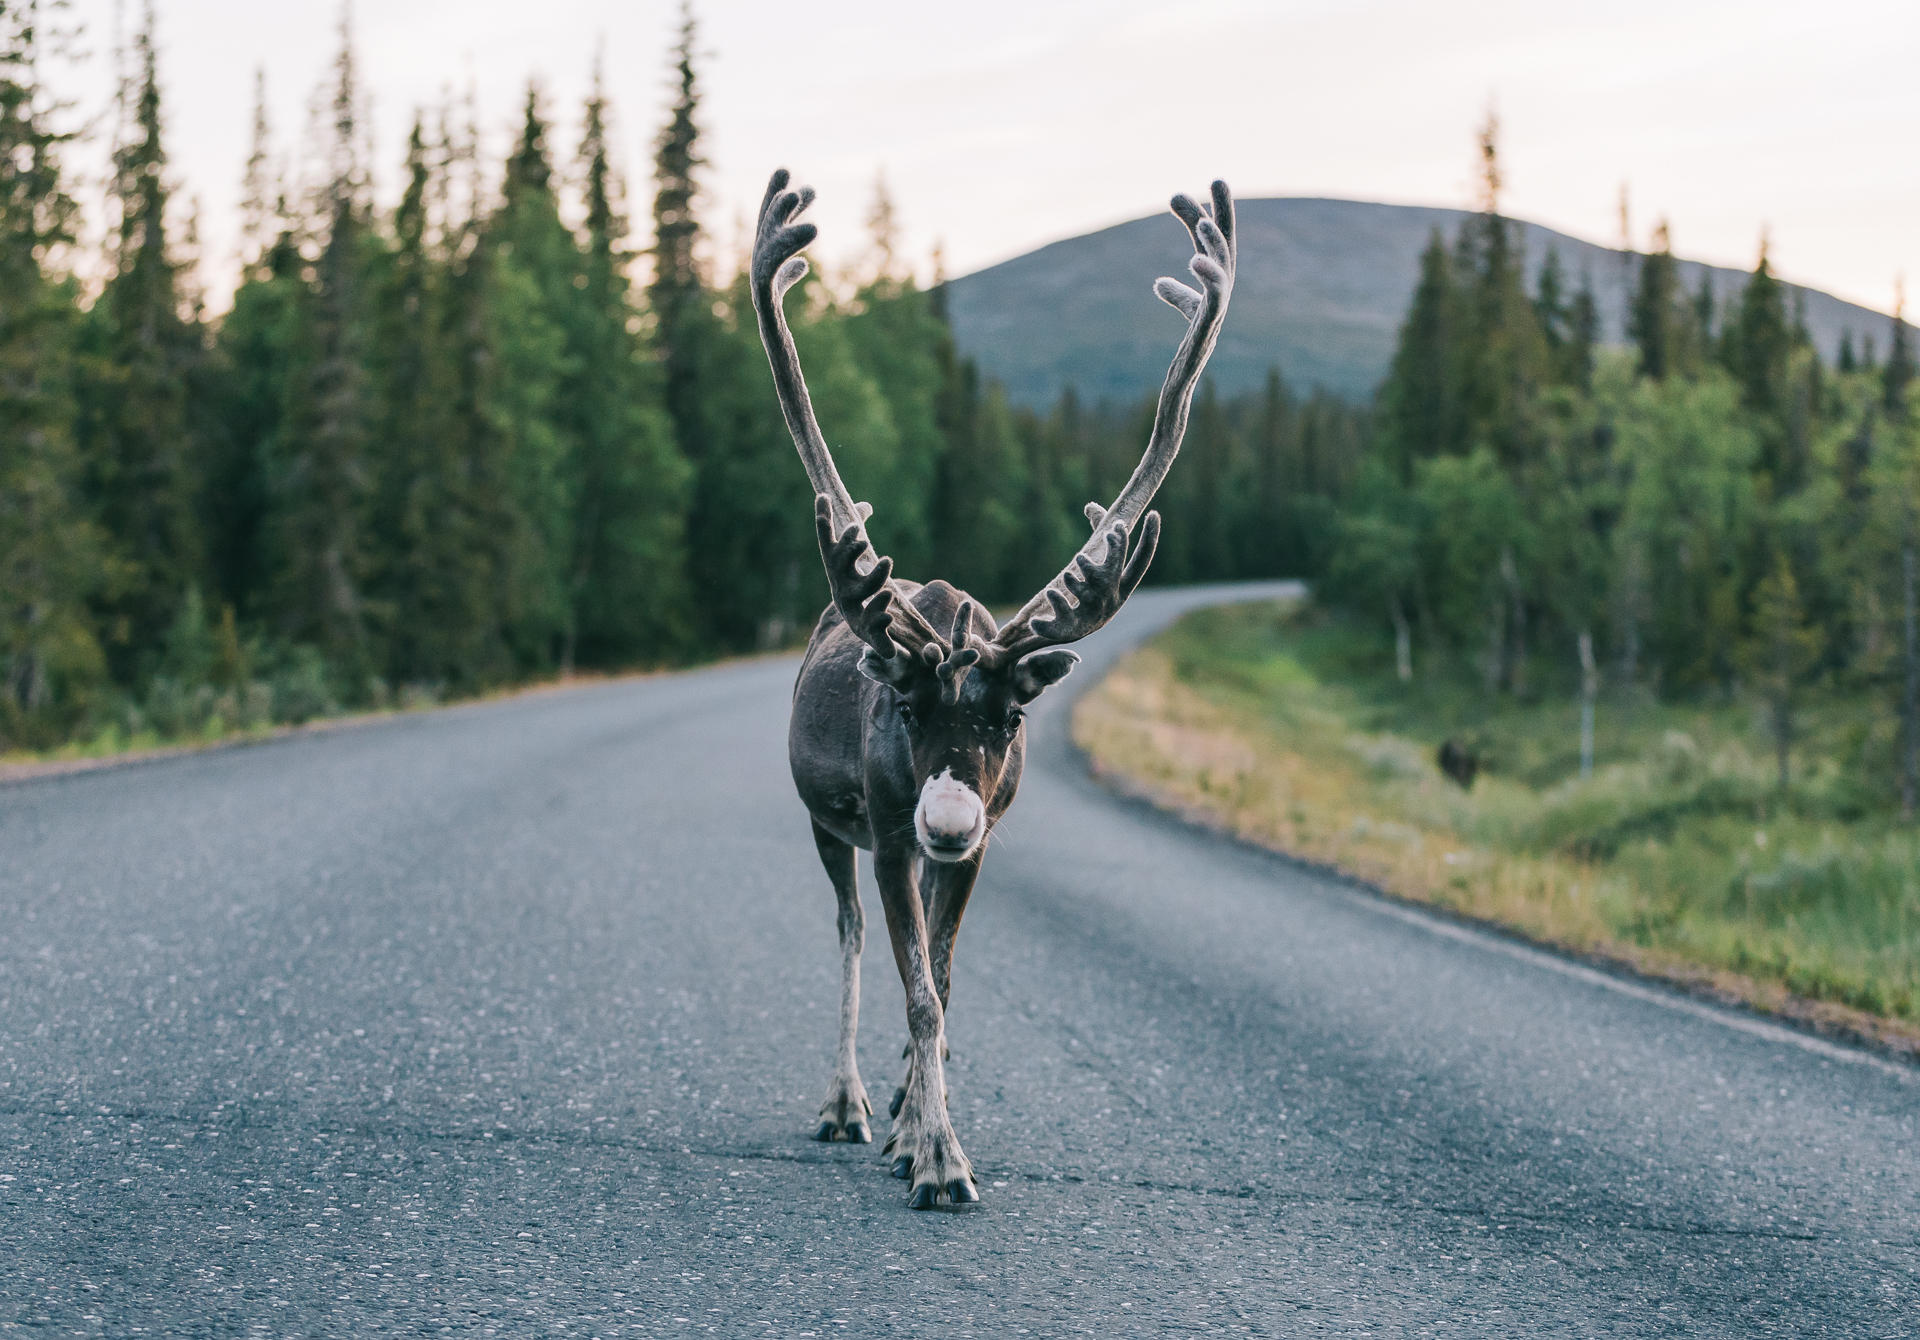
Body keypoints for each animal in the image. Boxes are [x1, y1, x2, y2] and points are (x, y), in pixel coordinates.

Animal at [750, 168, 1235, 1209]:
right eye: (904, 707)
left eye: (1014, 715)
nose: (947, 816)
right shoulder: (892, 840)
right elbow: (917, 991)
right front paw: (939, 1158)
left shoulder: (972, 854)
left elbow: (942, 983)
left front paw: (918, 1132)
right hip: (830, 827)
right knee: (850, 939)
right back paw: (847, 1105)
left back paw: (891, 1109)